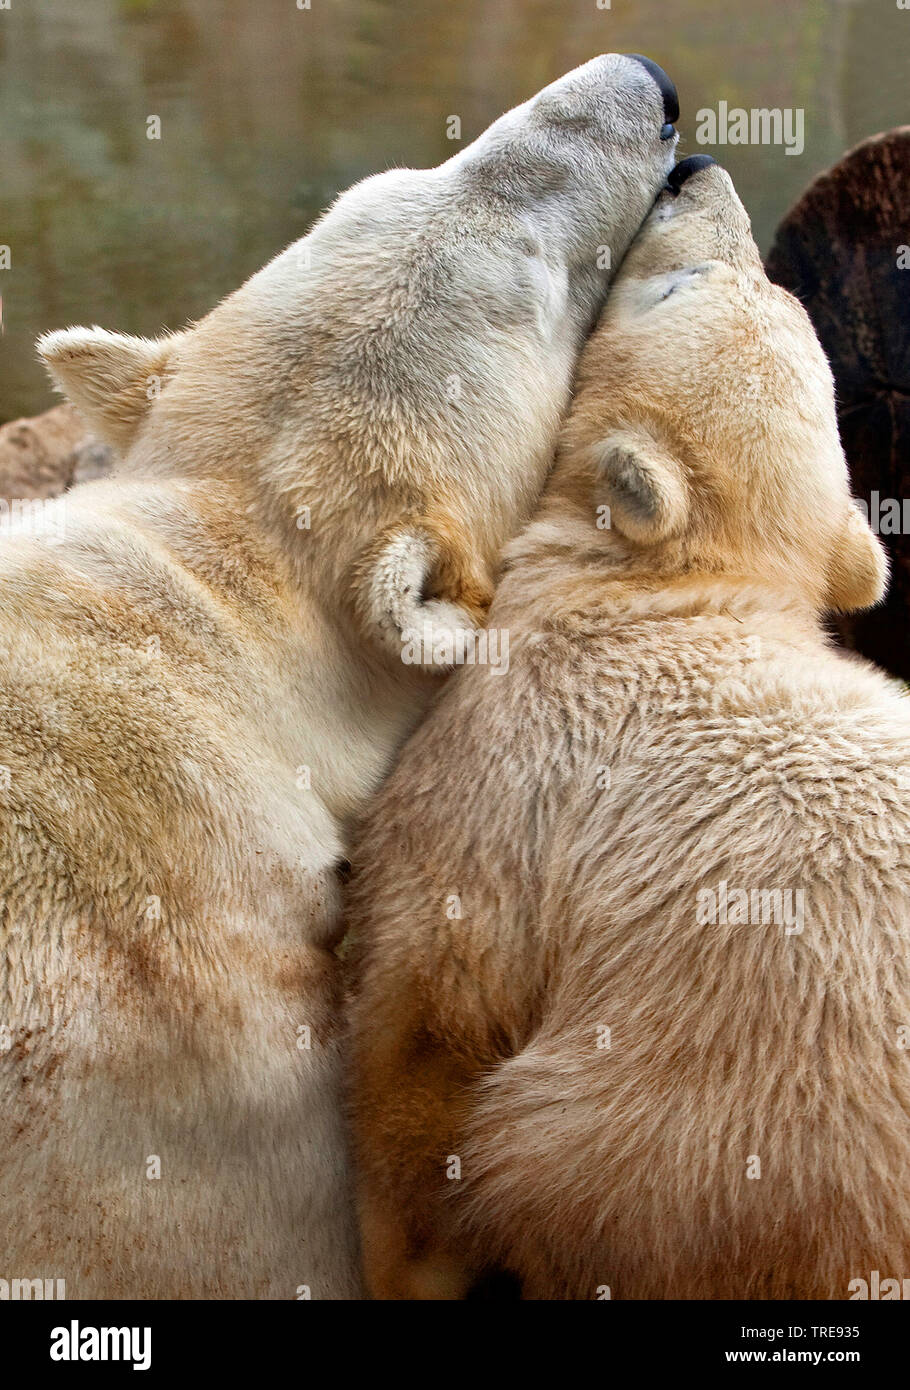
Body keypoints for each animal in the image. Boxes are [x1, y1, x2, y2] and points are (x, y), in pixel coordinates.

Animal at [346, 155, 910, 1300]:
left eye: (673, 287)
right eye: (775, 293)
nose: (696, 167)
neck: (669, 595)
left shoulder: (515, 755)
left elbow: (434, 999)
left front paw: (402, 1256)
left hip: (694, 1137)